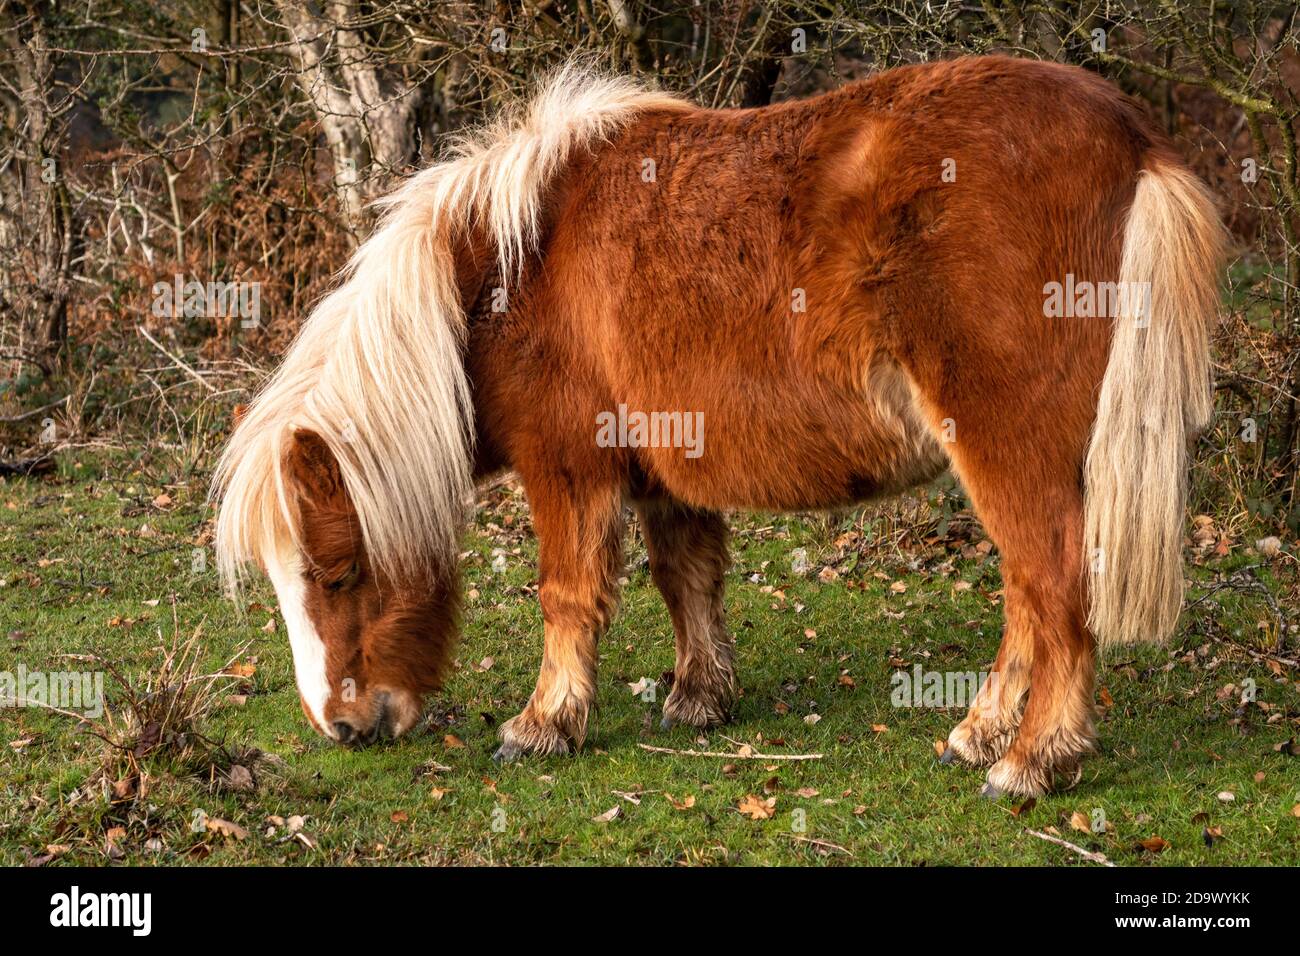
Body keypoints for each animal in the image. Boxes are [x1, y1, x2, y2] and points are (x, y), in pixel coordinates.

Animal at [212, 56, 1225, 798]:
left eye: (338, 574)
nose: (343, 728)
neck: (506, 269)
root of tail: (1133, 140)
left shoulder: (567, 468)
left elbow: (567, 596)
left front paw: (545, 725)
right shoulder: (666, 465)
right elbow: (686, 578)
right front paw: (700, 698)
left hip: (1008, 446)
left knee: (1054, 585)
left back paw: (1032, 762)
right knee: (1028, 592)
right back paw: (978, 735)